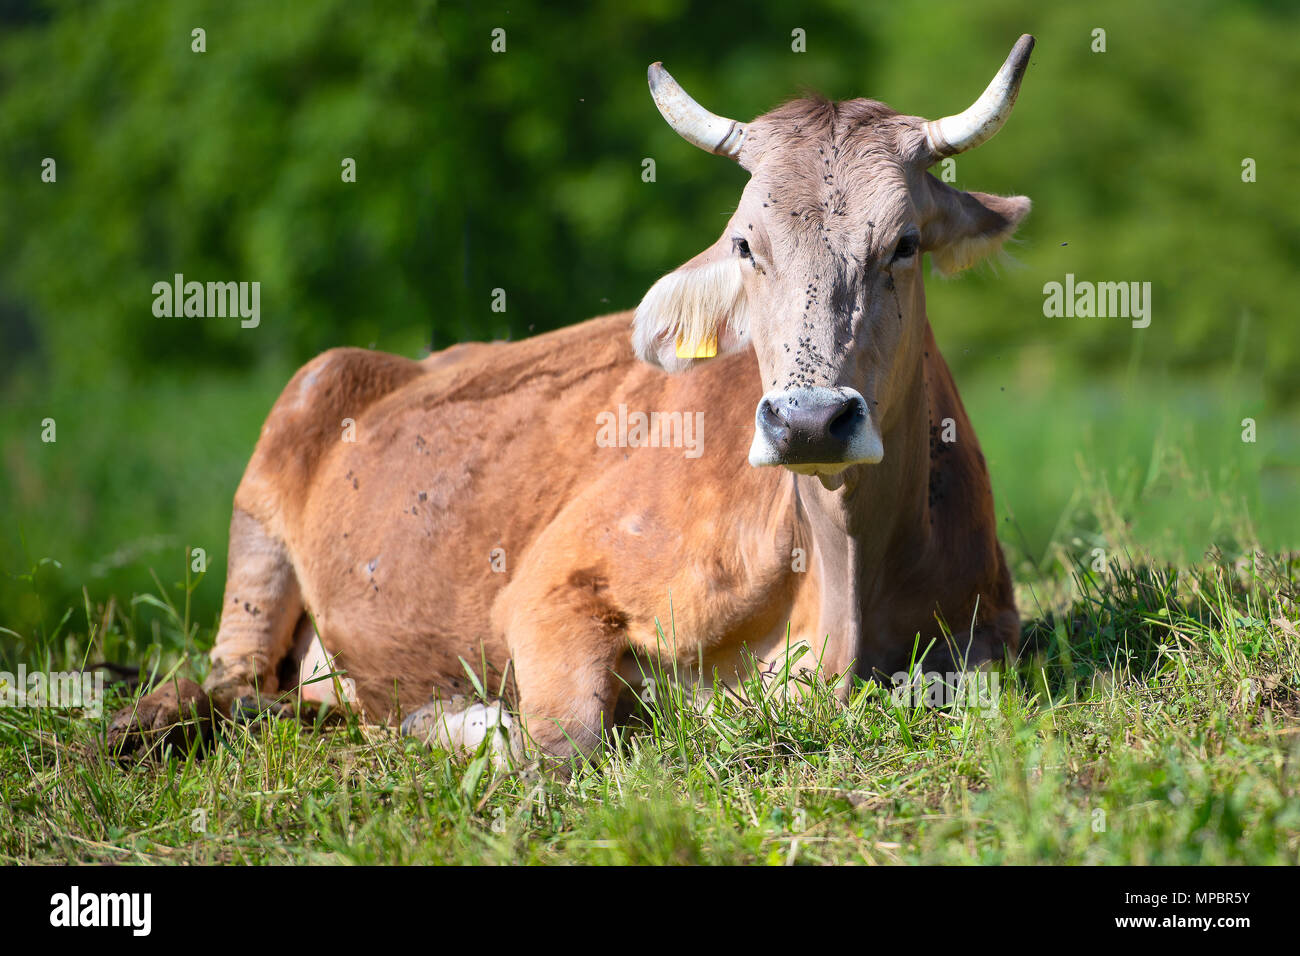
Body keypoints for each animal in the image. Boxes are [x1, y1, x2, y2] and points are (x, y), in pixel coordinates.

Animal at [108, 36, 1036, 766]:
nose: (809, 419)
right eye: (745, 244)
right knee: (217, 685)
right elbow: (564, 741)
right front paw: (471, 724)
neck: (839, 583)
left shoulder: (991, 629)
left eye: (904, 243)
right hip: (270, 494)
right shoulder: (549, 587)